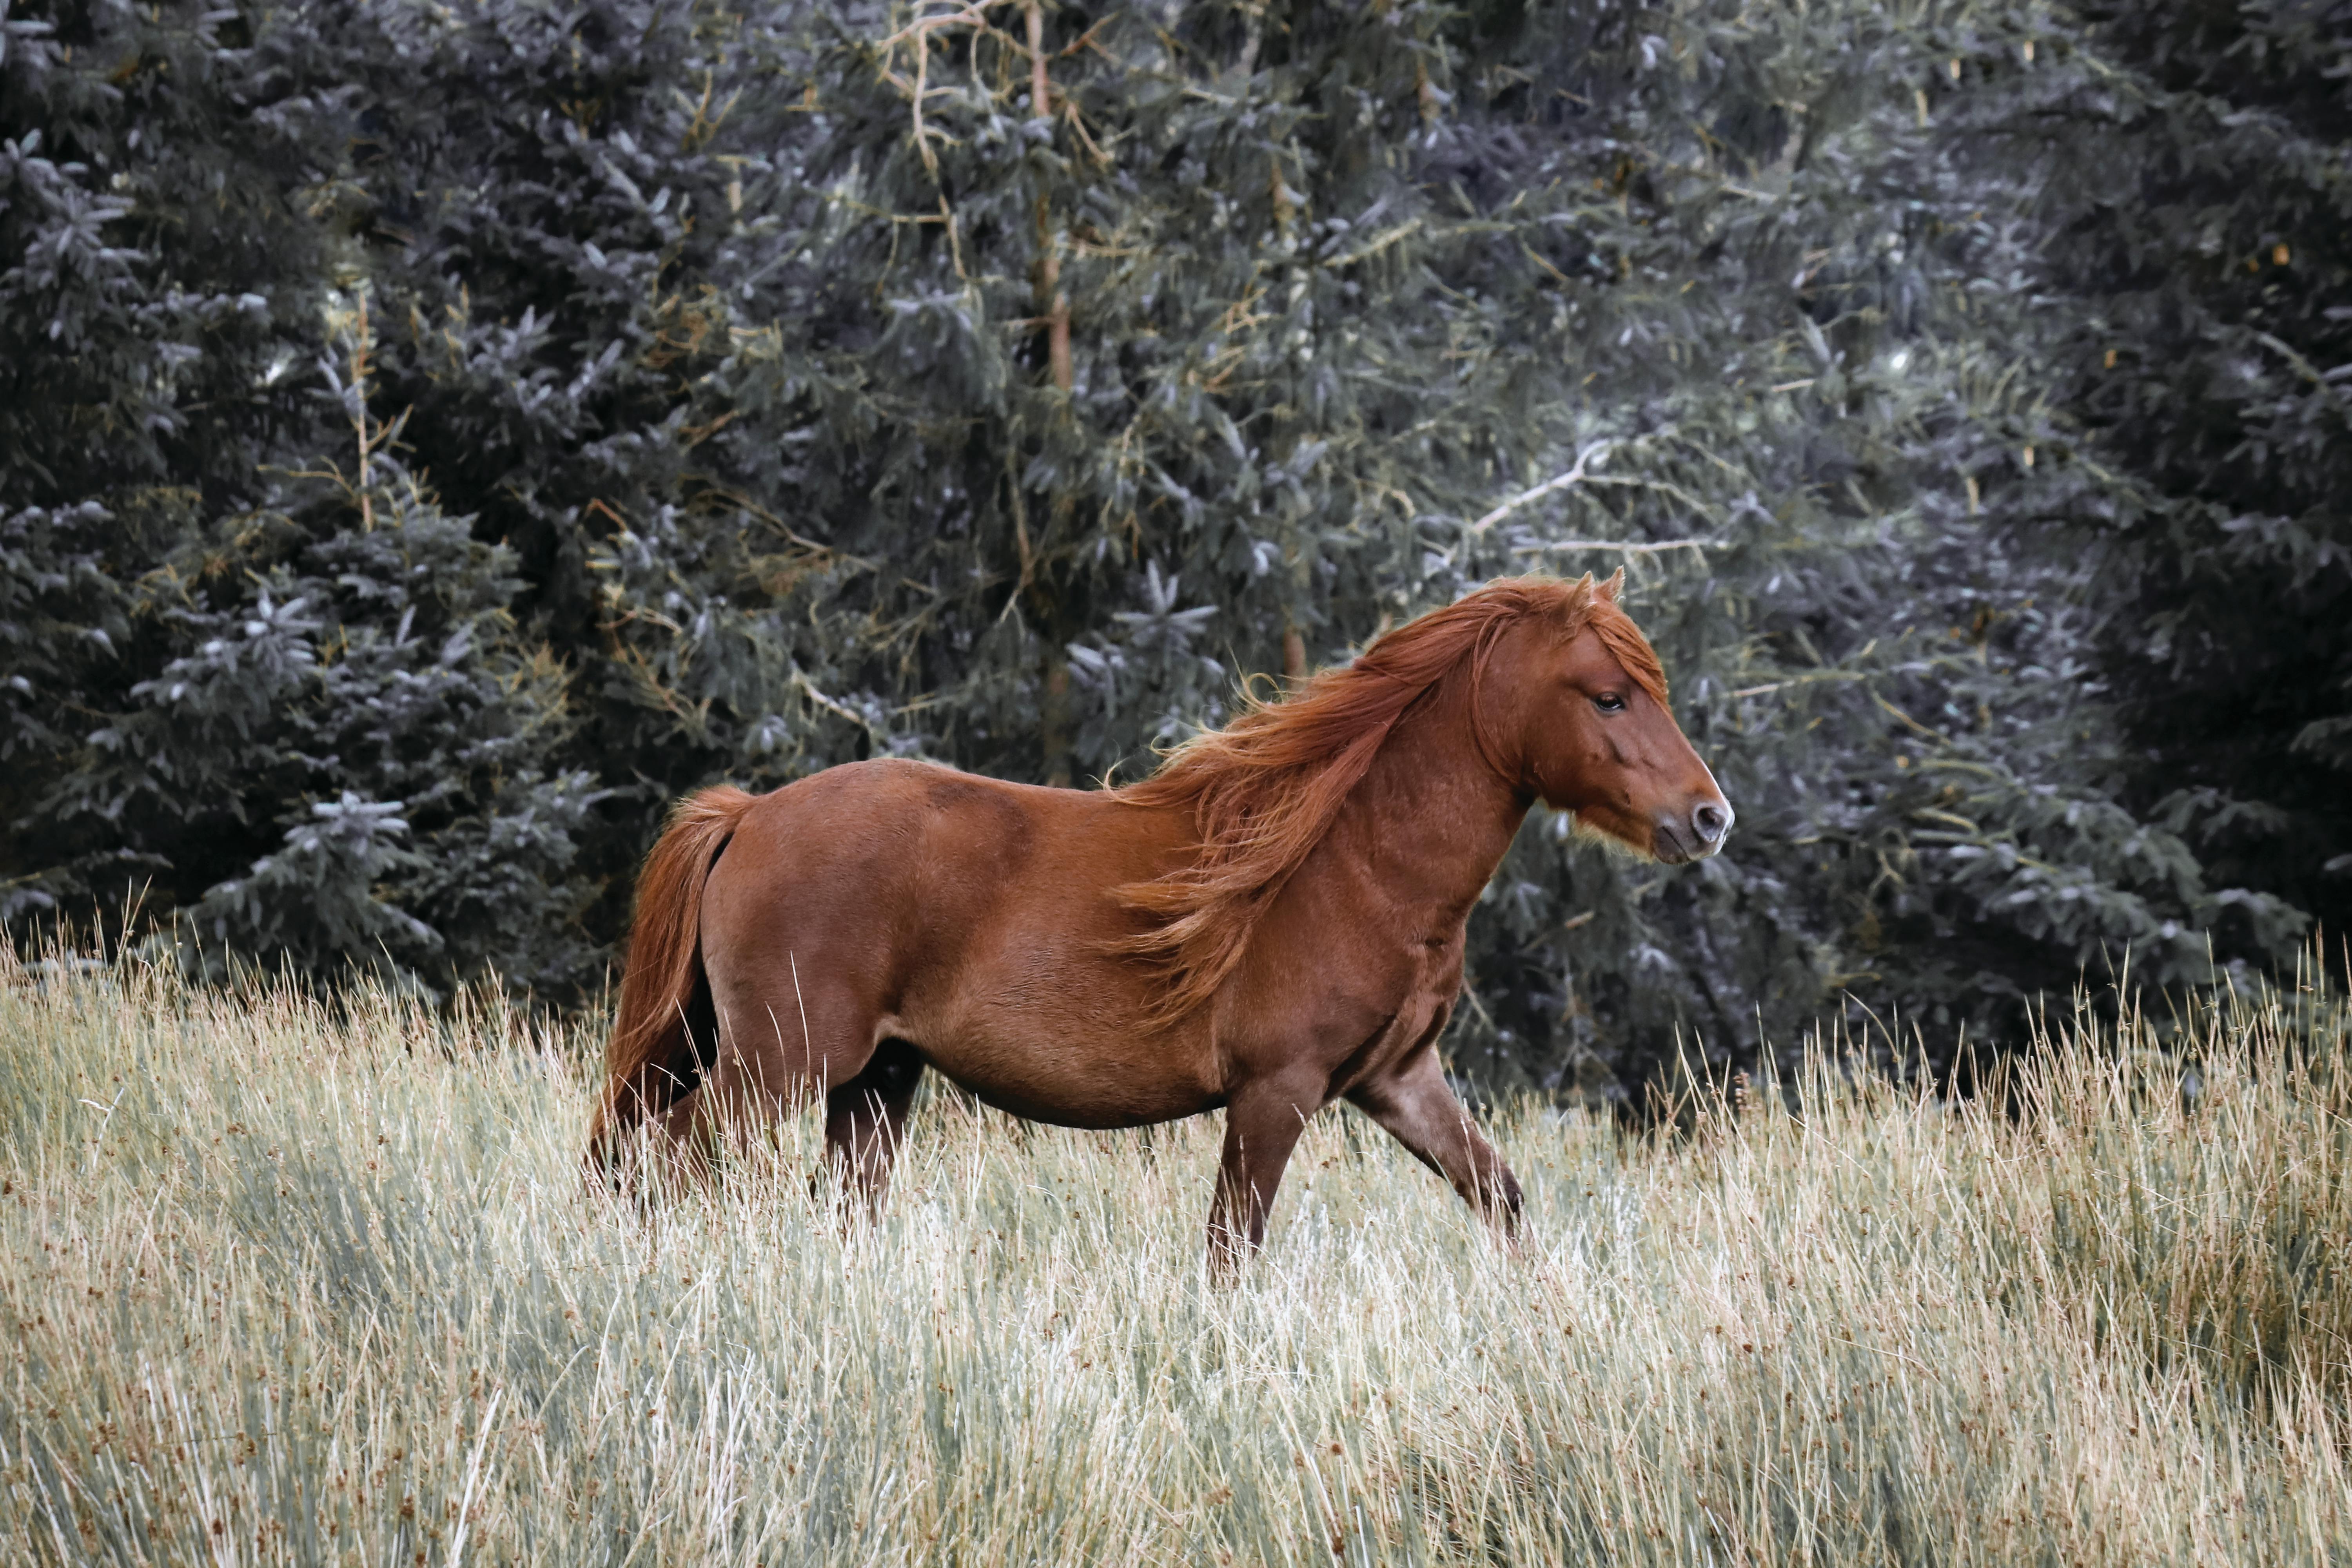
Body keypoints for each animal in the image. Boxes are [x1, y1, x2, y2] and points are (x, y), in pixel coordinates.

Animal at [588, 572, 1732, 1274]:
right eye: (1609, 696)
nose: (1710, 819)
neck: (1353, 861)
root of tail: (748, 815)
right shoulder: (1276, 1093)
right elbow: (1231, 1250)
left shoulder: (1399, 1081)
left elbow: (1500, 1197)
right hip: (781, 1066)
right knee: (673, 1161)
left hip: (873, 1083)